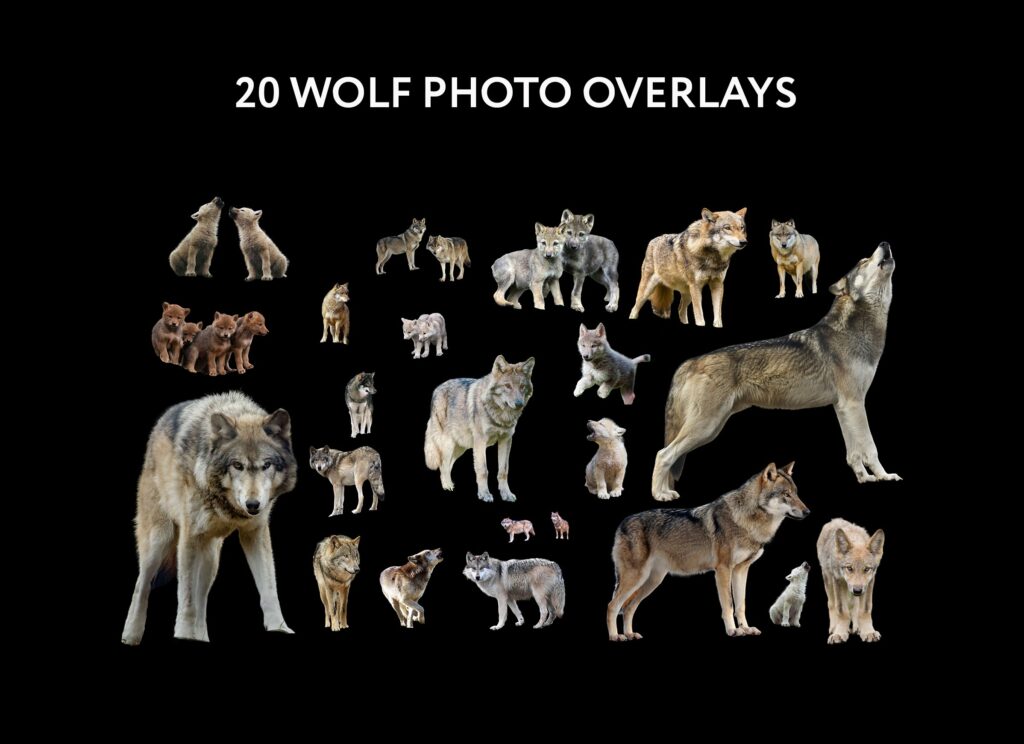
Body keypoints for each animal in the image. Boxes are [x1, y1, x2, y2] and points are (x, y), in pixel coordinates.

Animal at [121, 392, 297, 645]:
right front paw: (184, 635)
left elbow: (269, 589)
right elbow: (185, 599)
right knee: (141, 585)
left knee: (201, 600)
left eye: (267, 465)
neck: (227, 506)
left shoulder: (255, 532)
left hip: (211, 558)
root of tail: (161, 421)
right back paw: (131, 635)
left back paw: (201, 638)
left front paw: (279, 629)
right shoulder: (189, 537)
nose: (253, 505)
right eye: (237, 465)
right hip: (160, 542)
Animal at [424, 355, 535, 502]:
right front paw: (484, 494)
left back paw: (451, 484)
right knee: (443, 464)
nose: (519, 404)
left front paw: (506, 494)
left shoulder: (506, 440)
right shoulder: (481, 442)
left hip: (460, 447)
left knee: (449, 464)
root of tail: (437, 389)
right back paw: (447, 486)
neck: (501, 416)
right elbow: (483, 470)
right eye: (507, 386)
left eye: (522, 387)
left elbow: (503, 471)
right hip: (448, 444)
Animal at [607, 462, 809, 640]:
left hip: (652, 581)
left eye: (797, 493)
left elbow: (741, 605)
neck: (747, 521)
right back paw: (616, 636)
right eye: (786, 494)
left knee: (628, 607)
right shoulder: (723, 570)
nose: (808, 512)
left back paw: (630, 634)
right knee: (613, 606)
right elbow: (728, 605)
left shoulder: (741, 570)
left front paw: (746, 628)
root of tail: (621, 524)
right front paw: (733, 631)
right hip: (636, 578)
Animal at [652, 243, 899, 502]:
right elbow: (870, 447)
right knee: (663, 454)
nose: (884, 244)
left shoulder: (843, 407)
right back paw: (660, 495)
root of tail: (689, 362)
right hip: (706, 426)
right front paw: (885, 476)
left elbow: (854, 452)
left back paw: (664, 491)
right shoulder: (855, 404)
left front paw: (865, 478)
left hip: (711, 427)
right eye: (864, 261)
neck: (857, 331)